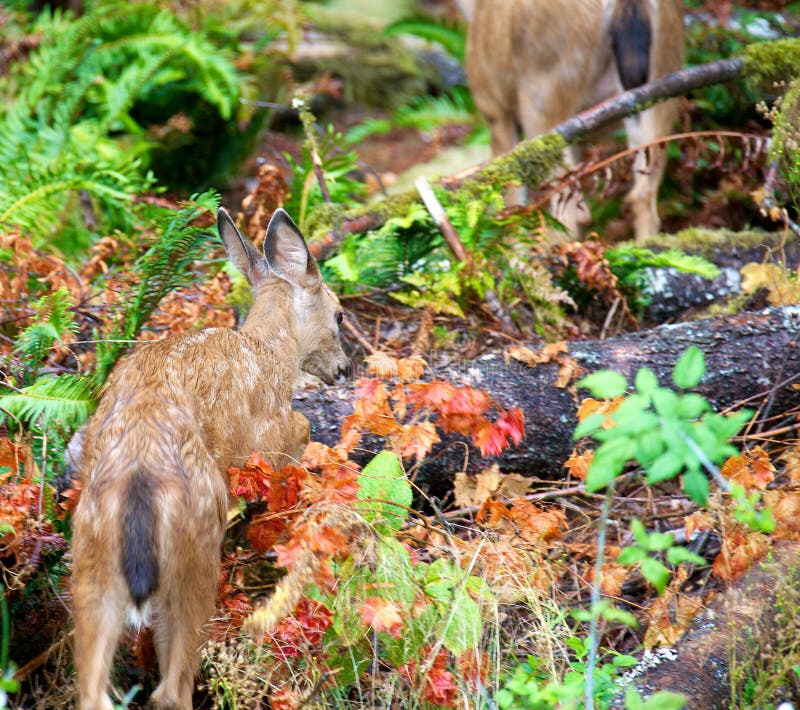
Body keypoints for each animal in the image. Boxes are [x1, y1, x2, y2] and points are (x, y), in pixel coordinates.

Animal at [70, 207, 351, 710]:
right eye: (338, 312)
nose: (345, 368)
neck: (270, 355)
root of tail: (138, 485)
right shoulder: (267, 435)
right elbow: (300, 428)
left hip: (91, 563)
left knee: (93, 691)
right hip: (194, 556)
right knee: (172, 688)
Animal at [462, 0, 685, 242]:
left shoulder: (497, 113)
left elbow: (511, 204)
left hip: (543, 98)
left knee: (566, 213)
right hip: (661, 81)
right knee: (643, 195)